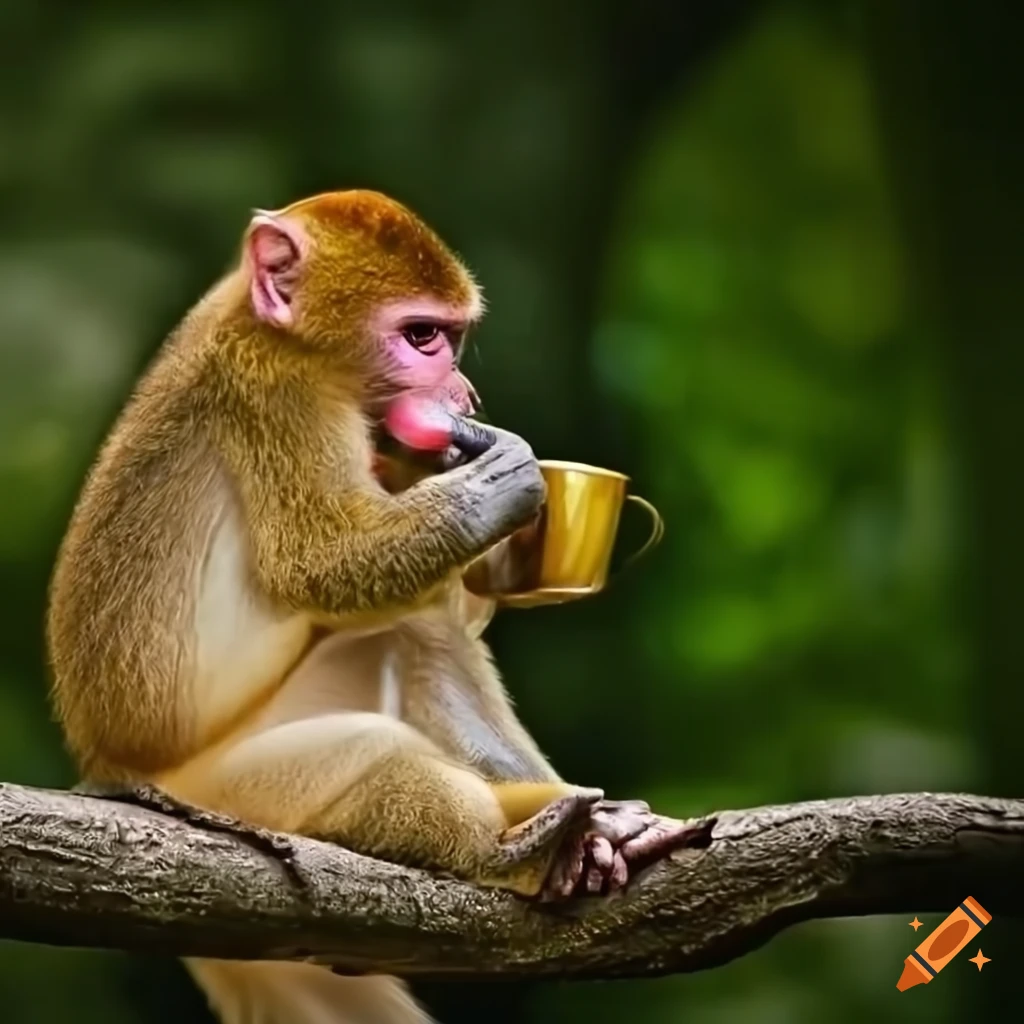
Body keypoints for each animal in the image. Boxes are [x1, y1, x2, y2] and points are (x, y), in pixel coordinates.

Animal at [46, 190, 706, 1024]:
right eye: (422, 337)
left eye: (453, 338)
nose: (464, 397)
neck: (269, 327)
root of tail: (104, 766)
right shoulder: (277, 393)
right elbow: (320, 565)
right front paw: (497, 484)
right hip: (224, 789)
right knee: (370, 747)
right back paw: (505, 850)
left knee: (412, 631)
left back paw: (582, 827)